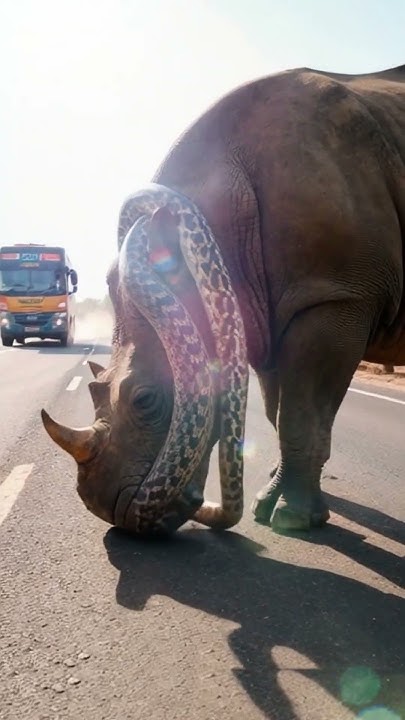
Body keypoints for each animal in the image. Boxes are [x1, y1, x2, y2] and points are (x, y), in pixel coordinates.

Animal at [42, 64, 405, 537]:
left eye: (145, 400)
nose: (109, 509)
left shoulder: (337, 293)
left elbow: (301, 414)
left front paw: (291, 518)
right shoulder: (267, 312)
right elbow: (279, 410)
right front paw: (271, 498)